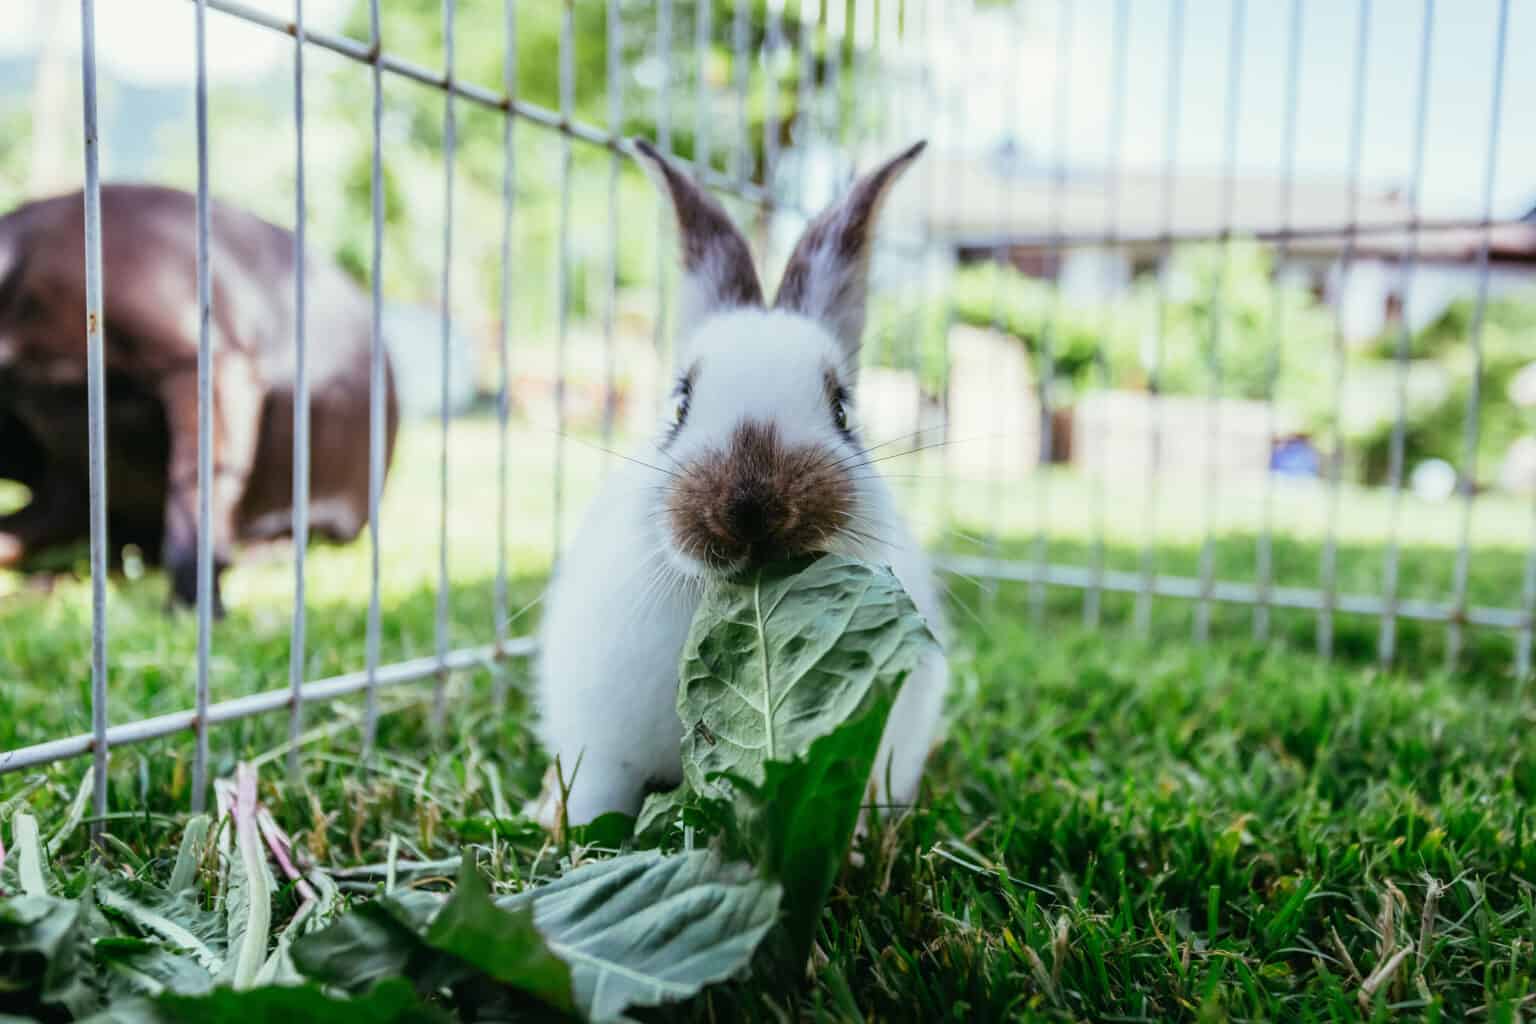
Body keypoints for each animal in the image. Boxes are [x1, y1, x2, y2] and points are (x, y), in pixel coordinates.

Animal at [526, 138, 948, 830]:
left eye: (843, 410)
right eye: (679, 404)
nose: (752, 507)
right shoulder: (603, 750)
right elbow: (598, 796)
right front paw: (570, 829)